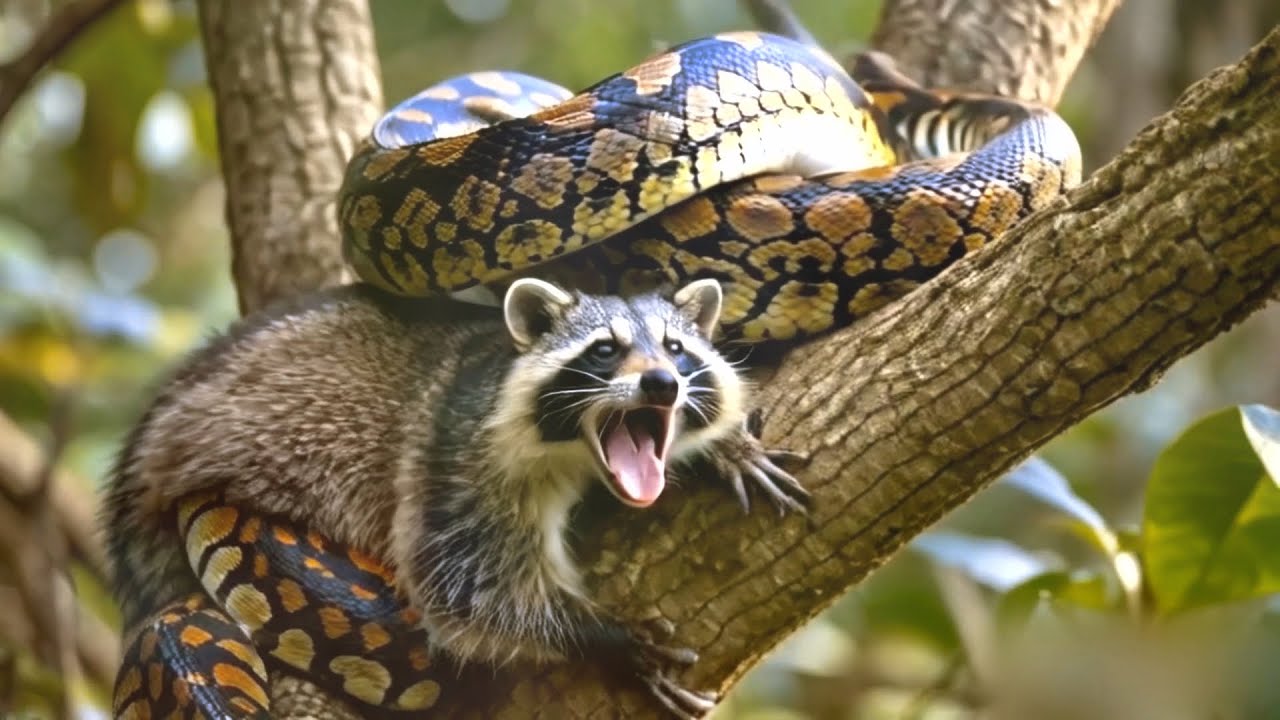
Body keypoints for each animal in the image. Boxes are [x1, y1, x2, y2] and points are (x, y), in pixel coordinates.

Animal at [103, 278, 805, 717]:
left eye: (677, 350)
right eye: (605, 350)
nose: (662, 384)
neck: (577, 458)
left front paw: (723, 445)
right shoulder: (459, 456)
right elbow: (465, 591)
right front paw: (603, 635)